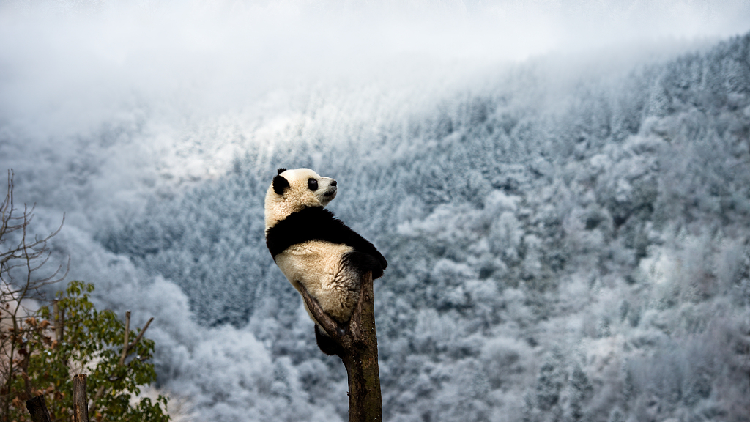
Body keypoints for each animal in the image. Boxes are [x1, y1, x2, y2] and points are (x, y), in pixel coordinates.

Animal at [264, 168, 387, 355]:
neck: (281, 209)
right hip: (340, 281)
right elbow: (347, 235)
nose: (334, 182)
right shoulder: (306, 222)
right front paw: (381, 258)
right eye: (313, 182)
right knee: (358, 260)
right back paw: (375, 265)